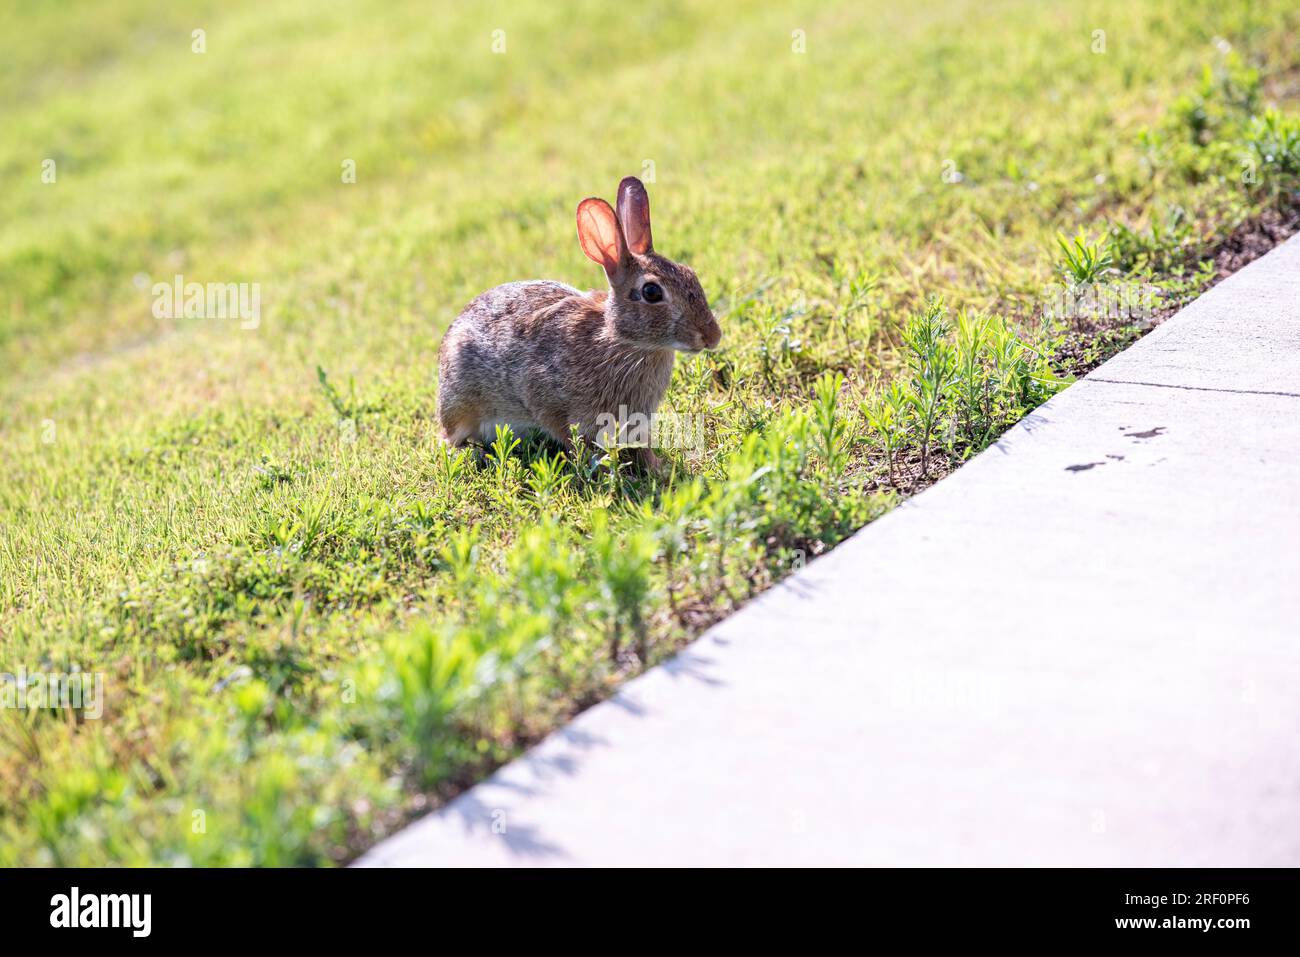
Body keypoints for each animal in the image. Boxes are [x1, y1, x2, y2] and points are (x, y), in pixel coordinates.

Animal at [436, 176, 721, 471]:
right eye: (651, 292)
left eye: (691, 274)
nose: (713, 336)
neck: (623, 343)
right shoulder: (547, 400)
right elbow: (570, 437)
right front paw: (600, 467)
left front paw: (658, 468)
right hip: (460, 404)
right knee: (449, 438)